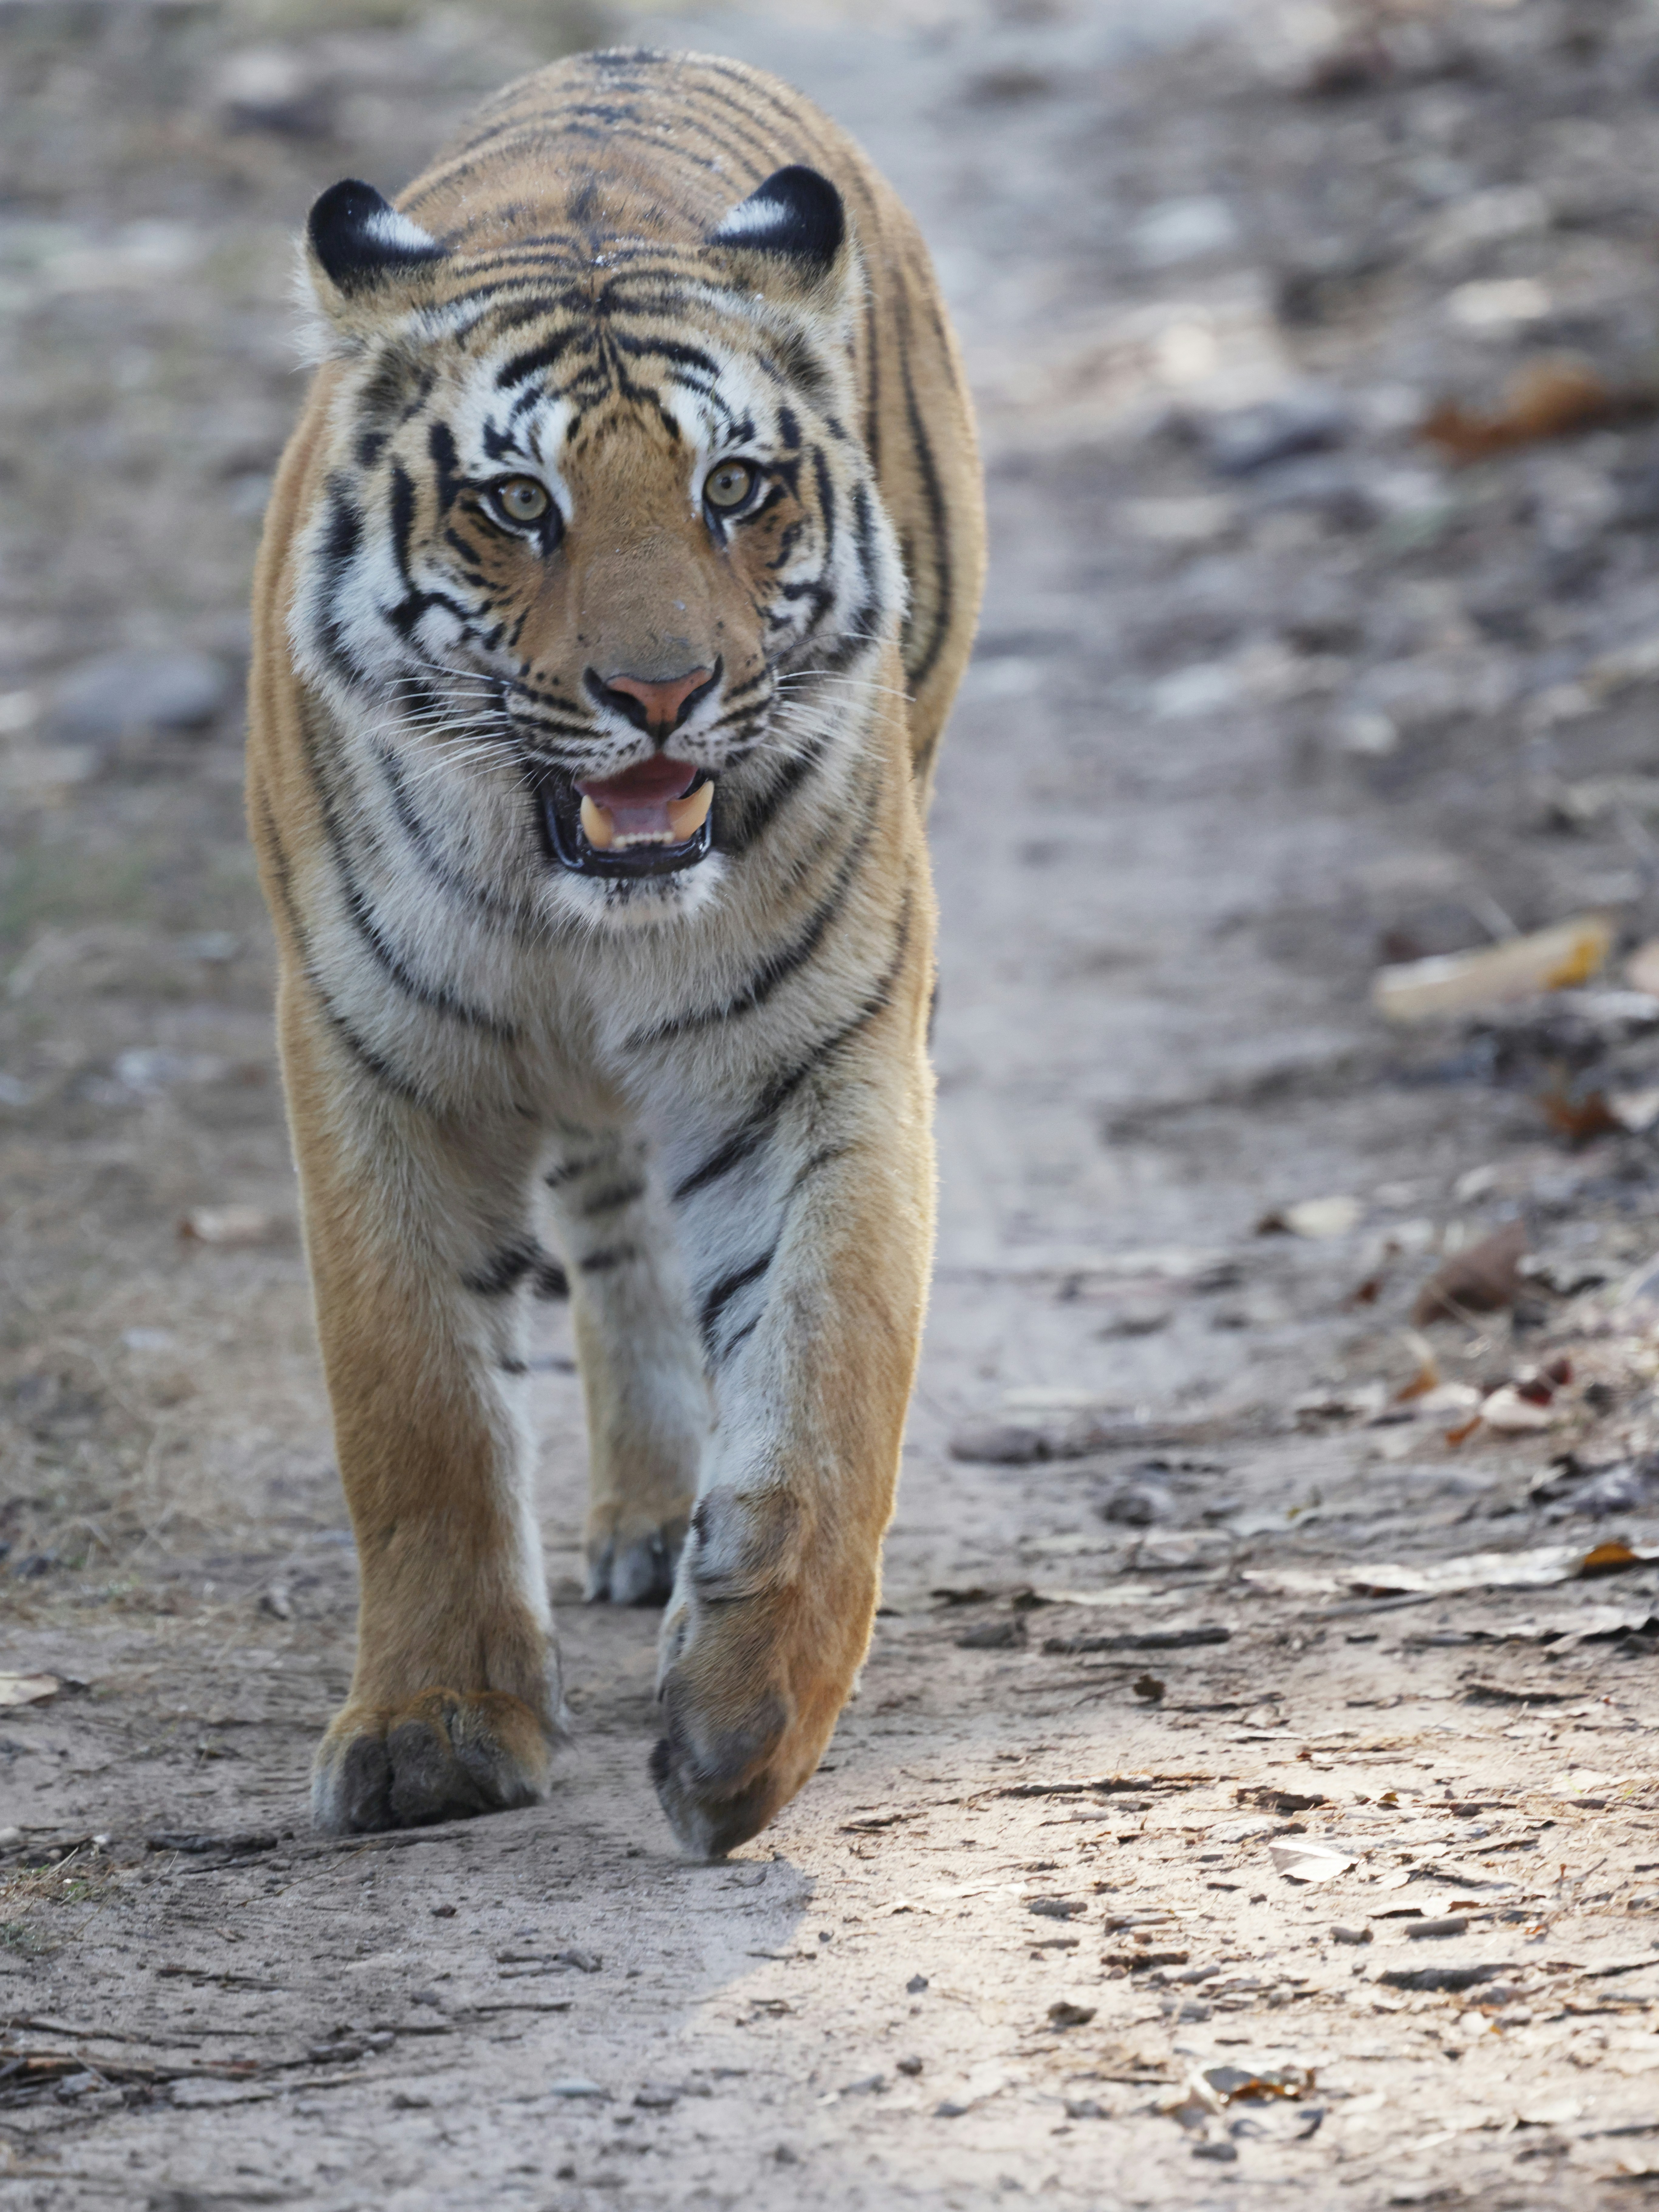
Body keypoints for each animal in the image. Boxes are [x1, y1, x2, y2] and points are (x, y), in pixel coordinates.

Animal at [247, 45, 985, 1858]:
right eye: (521, 503)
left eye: (734, 488)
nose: (663, 693)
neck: (569, 903)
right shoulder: (372, 1055)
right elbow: (415, 1409)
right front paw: (433, 1730)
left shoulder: (820, 1050)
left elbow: (827, 1376)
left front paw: (742, 1727)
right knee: (611, 1221)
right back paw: (645, 1513)